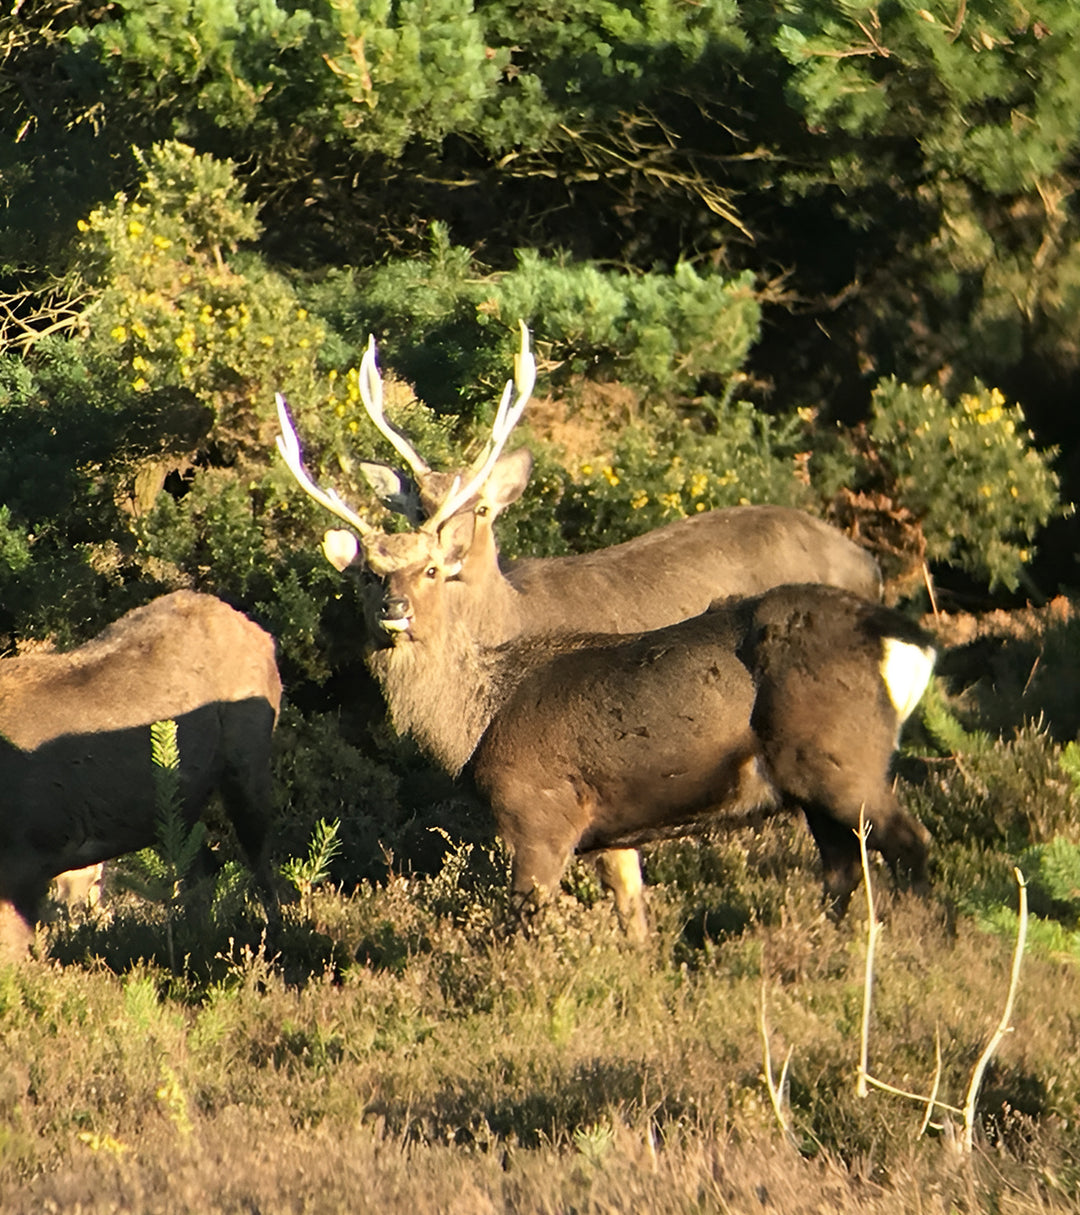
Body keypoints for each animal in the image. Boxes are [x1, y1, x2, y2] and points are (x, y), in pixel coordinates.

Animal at [0, 590, 282, 951]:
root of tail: (263, 636)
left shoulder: (28, 856)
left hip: (247, 760)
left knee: (257, 855)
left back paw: (276, 932)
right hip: (179, 806)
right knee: (201, 867)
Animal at [276, 329, 936, 936]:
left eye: (433, 566)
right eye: (369, 572)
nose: (396, 608)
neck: (478, 715)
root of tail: (900, 628)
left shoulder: (540, 814)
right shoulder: (613, 833)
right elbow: (634, 919)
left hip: (841, 760)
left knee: (913, 845)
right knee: (844, 871)